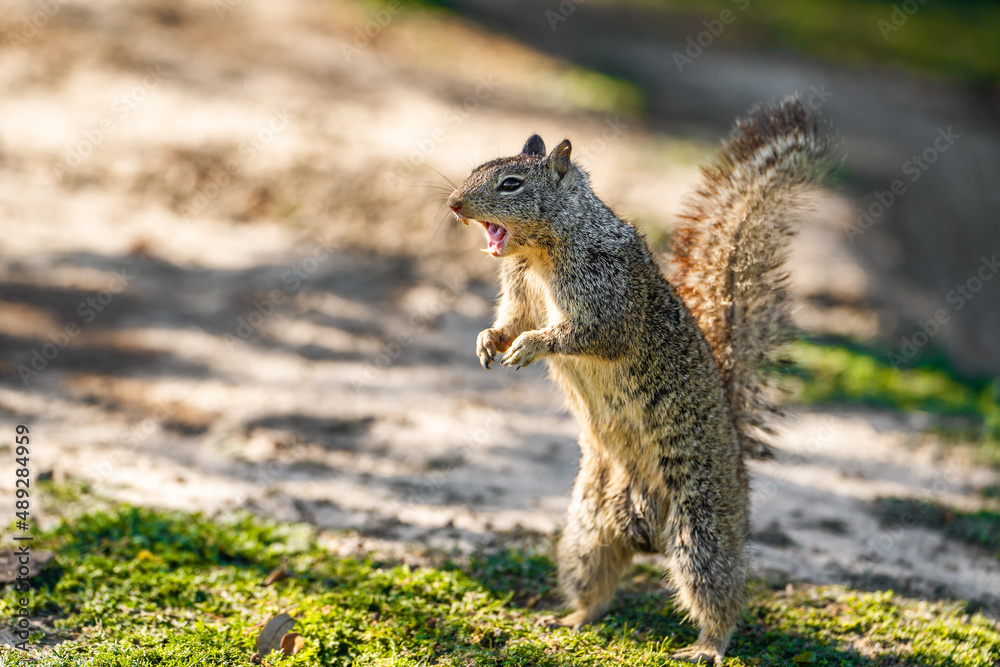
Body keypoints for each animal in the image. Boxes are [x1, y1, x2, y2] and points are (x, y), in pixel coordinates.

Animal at [446, 97, 831, 664]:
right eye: (477, 168)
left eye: (511, 184)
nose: (454, 205)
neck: (540, 252)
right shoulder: (517, 292)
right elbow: (510, 320)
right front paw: (488, 341)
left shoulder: (608, 295)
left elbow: (588, 333)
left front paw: (531, 347)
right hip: (586, 529)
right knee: (596, 583)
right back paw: (569, 619)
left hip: (702, 527)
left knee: (719, 594)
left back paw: (707, 646)